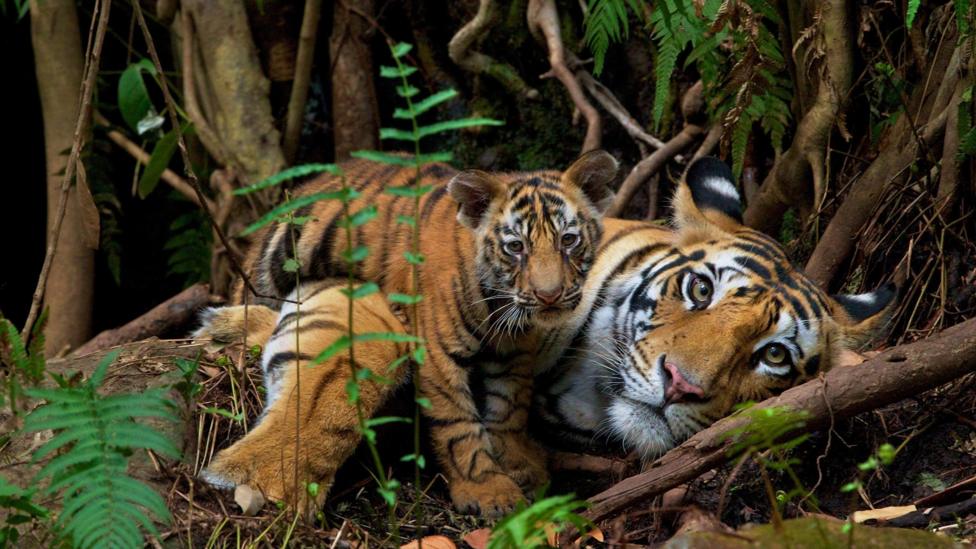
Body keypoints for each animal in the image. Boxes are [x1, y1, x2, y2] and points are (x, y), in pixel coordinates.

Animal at [197, 151, 619, 516]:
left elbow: (509, 407)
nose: (549, 295)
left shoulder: (514, 354)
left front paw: (519, 464)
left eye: (569, 240)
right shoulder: (438, 352)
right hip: (271, 267)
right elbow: (457, 424)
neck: (502, 307)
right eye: (516, 247)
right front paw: (488, 491)